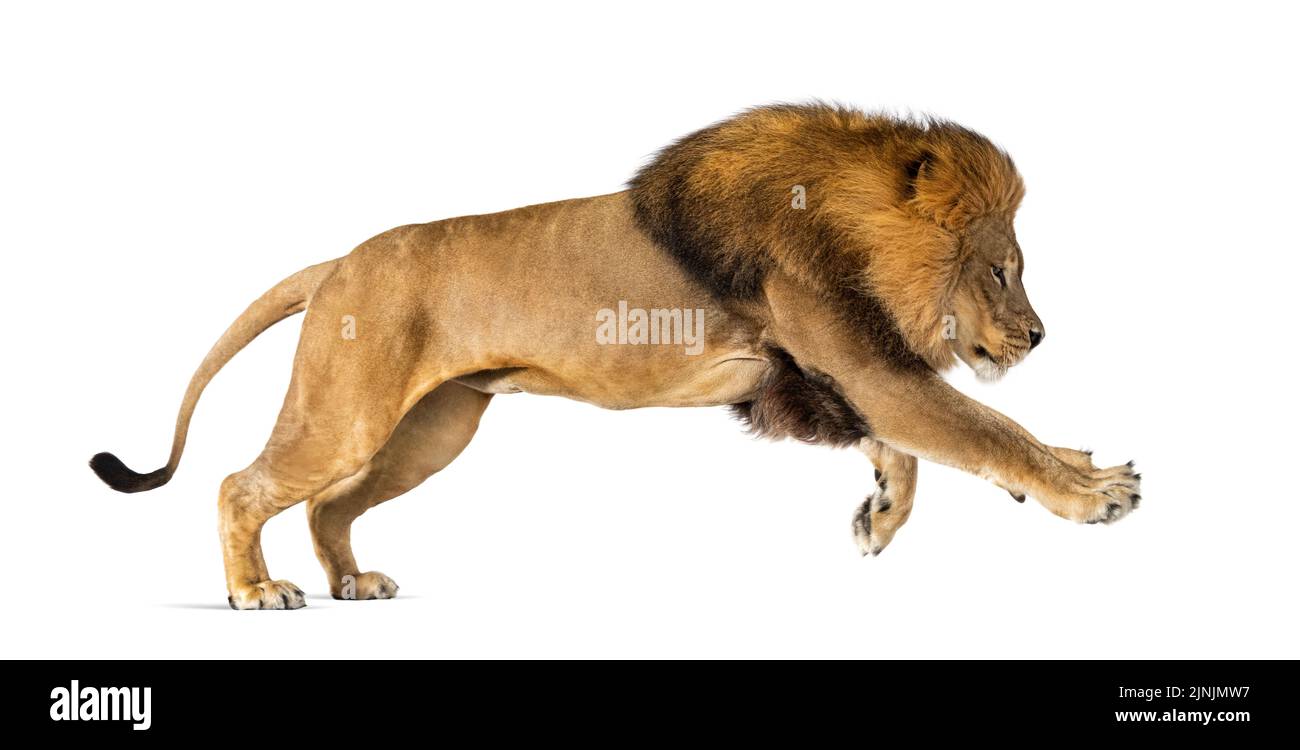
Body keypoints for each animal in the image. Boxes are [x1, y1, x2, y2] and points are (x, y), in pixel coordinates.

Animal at [91, 103, 1140, 609]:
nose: (1039, 335)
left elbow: (924, 446)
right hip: (346, 413)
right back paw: (254, 592)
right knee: (243, 486)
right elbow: (989, 427)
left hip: (431, 430)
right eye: (1001, 270)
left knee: (327, 505)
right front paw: (1092, 492)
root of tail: (340, 260)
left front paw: (880, 514)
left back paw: (354, 583)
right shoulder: (866, 363)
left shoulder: (841, 375)